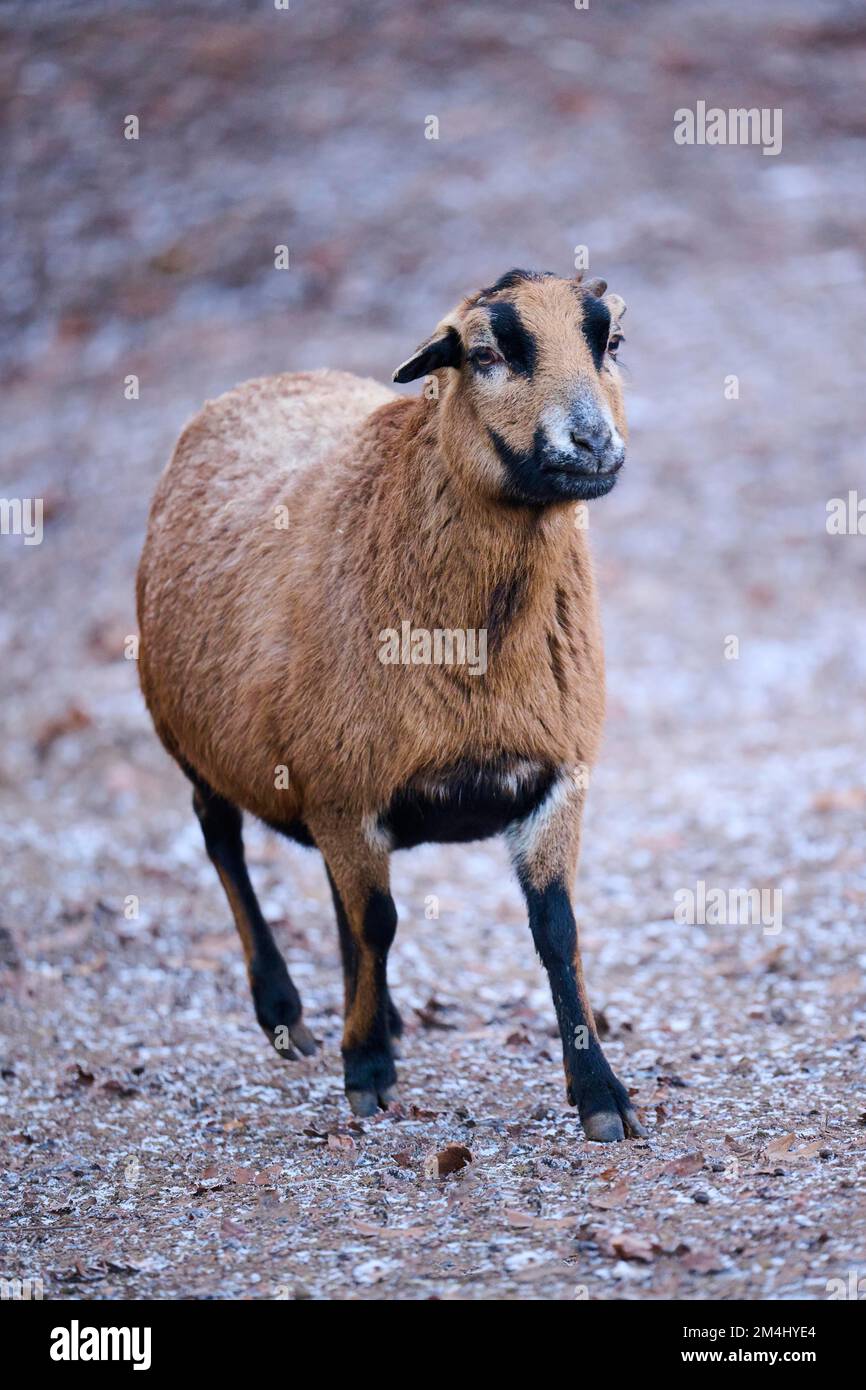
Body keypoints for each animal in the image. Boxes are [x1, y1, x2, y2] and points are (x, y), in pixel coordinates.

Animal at [136, 267, 646, 1142]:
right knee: (224, 844)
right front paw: (367, 1069)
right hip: (193, 738)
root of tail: (265, 382)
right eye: (485, 354)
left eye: (608, 342)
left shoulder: (554, 778)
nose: (592, 445)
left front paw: (600, 1094)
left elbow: (558, 932)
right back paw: (289, 1014)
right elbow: (380, 922)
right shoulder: (347, 790)